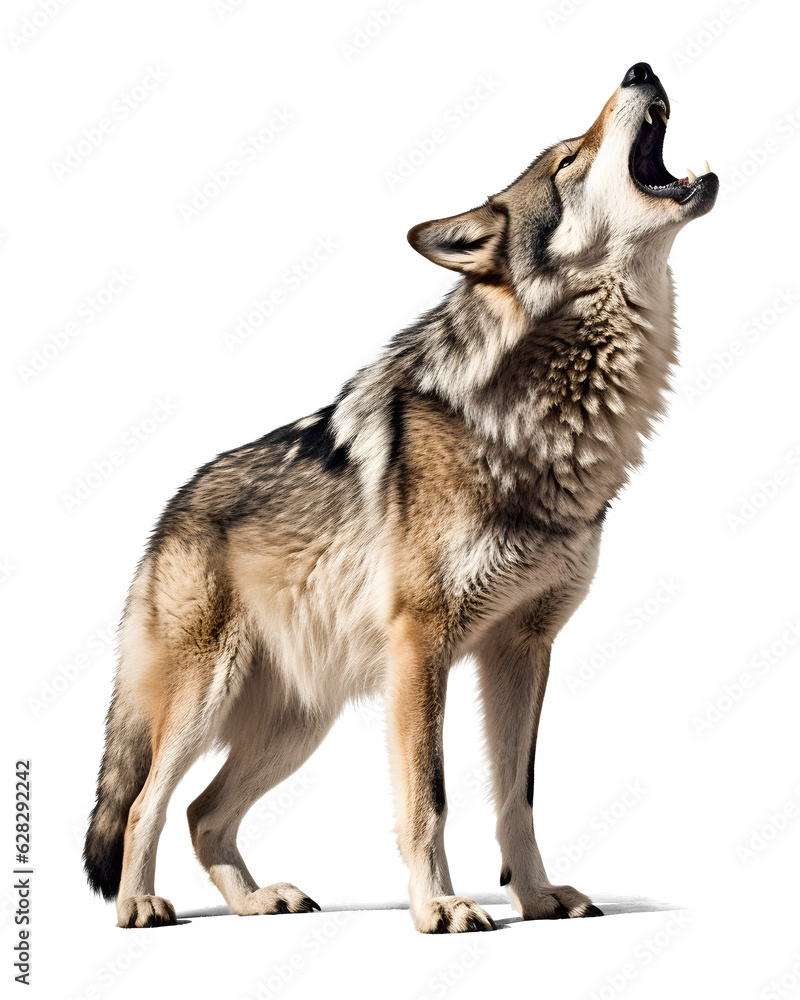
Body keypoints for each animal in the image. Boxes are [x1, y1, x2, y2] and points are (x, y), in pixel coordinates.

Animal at [84, 62, 717, 933]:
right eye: (566, 160)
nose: (640, 68)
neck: (544, 418)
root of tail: (167, 510)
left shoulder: (522, 648)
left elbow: (517, 794)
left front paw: (536, 898)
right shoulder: (425, 645)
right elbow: (432, 796)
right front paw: (440, 906)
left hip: (300, 723)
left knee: (202, 812)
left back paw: (259, 901)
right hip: (208, 700)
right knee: (149, 800)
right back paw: (141, 903)